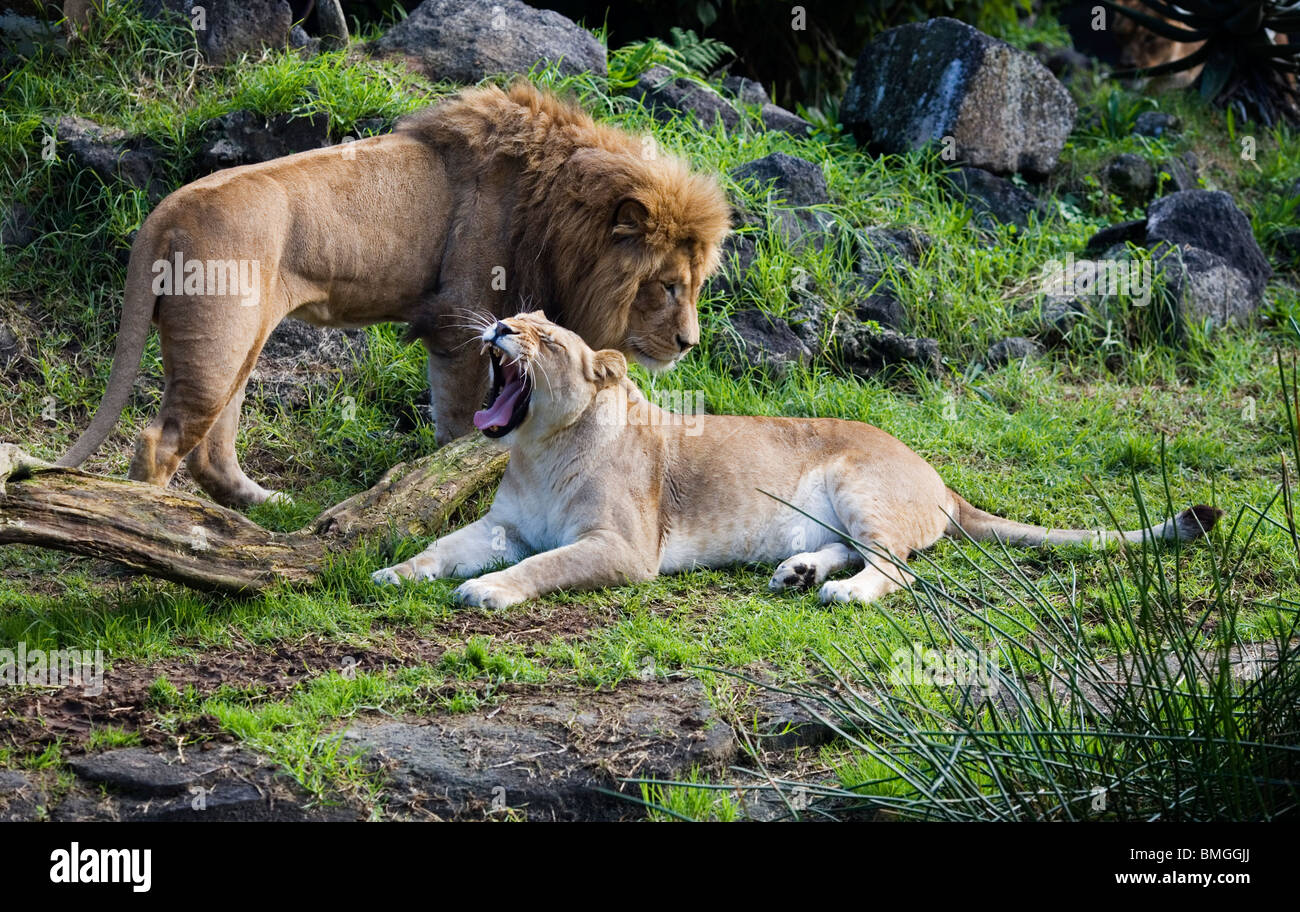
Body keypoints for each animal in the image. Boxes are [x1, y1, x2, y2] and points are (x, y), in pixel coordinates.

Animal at [56, 83, 731, 507]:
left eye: (696, 285)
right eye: (667, 285)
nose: (688, 344)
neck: (557, 210)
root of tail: (164, 210)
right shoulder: (459, 320)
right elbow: (460, 426)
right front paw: (449, 486)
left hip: (236, 346)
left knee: (210, 449)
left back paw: (259, 505)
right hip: (218, 344)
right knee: (161, 444)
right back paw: (148, 525)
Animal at [371, 312, 1220, 608]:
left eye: (545, 338)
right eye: (513, 316)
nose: (498, 331)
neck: (541, 448)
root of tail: (942, 479)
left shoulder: (623, 548)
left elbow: (541, 565)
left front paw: (488, 592)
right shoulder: (505, 525)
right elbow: (447, 544)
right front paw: (393, 572)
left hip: (858, 482)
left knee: (899, 567)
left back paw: (837, 592)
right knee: (857, 549)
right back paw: (798, 571)